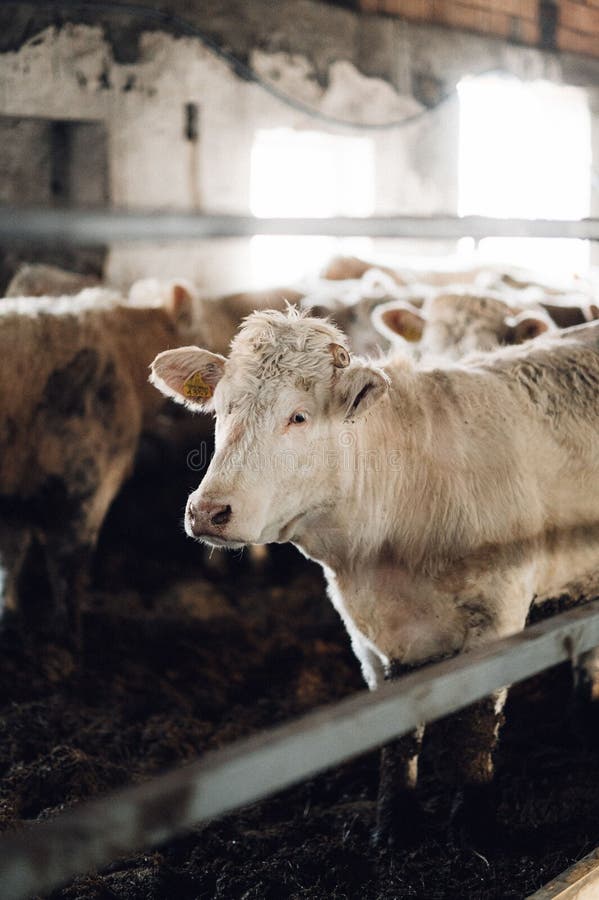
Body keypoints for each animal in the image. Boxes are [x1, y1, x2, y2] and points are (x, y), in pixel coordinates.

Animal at [151, 308, 599, 845]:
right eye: (221, 410)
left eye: (299, 416)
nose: (208, 511)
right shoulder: (366, 634)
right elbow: (395, 728)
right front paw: (394, 823)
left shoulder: (499, 612)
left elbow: (475, 730)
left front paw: (473, 823)